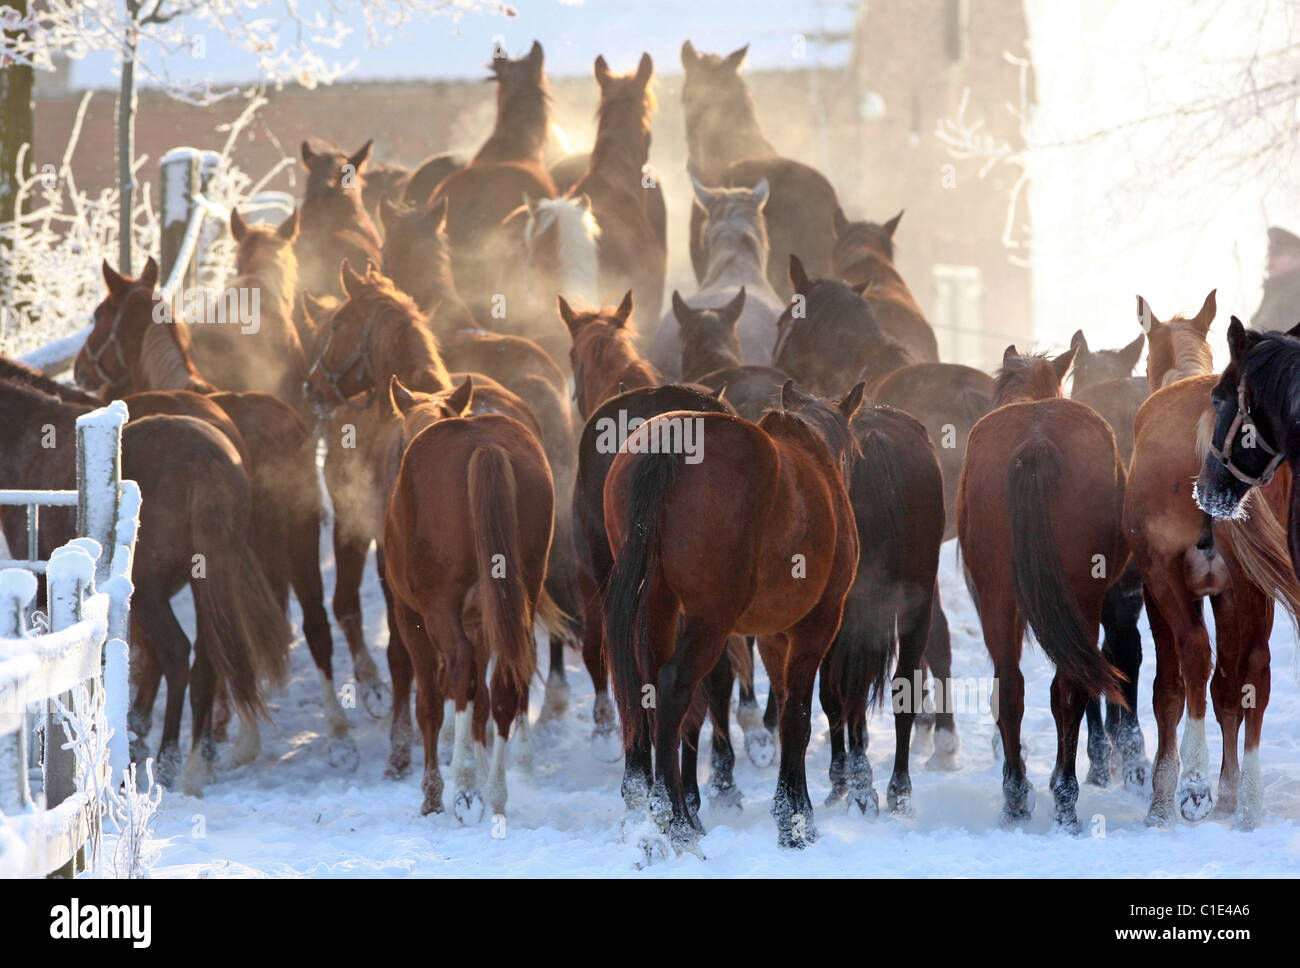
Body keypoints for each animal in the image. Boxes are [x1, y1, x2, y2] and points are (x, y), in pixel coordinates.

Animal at [0, 377, 290, 796]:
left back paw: (168, 762)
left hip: (152, 592)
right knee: (207, 659)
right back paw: (194, 764)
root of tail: (205, 457)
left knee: (178, 653)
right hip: (206, 579)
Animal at [383, 375, 553, 820]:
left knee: (458, 668)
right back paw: (495, 793)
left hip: (438, 606)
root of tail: (484, 446)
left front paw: (435, 794)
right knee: (507, 681)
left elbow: (431, 699)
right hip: (521, 594)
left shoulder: (410, 616)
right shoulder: (482, 619)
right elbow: (480, 703)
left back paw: (460, 785)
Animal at [603, 379, 863, 850]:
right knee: (674, 687)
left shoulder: (775, 635)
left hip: (660, 607)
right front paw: (796, 820)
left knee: (650, 689)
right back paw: (677, 820)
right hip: (710, 620)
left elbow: (782, 704)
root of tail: (671, 443)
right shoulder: (815, 625)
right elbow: (796, 718)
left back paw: (656, 806)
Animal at [958, 346, 1129, 831]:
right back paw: (1064, 795)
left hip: (997, 595)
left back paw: (1016, 796)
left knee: (1010, 688)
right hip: (1082, 596)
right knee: (1069, 689)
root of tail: (1034, 443)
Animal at [1123, 292, 1300, 829]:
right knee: (1253, 676)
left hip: (1170, 580)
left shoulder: (1159, 591)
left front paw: (1167, 795)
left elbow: (1172, 689)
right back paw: (1249, 801)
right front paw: (1228, 789)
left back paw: (1197, 785)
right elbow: (1229, 689)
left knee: (1199, 660)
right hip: (1252, 589)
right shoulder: (1232, 590)